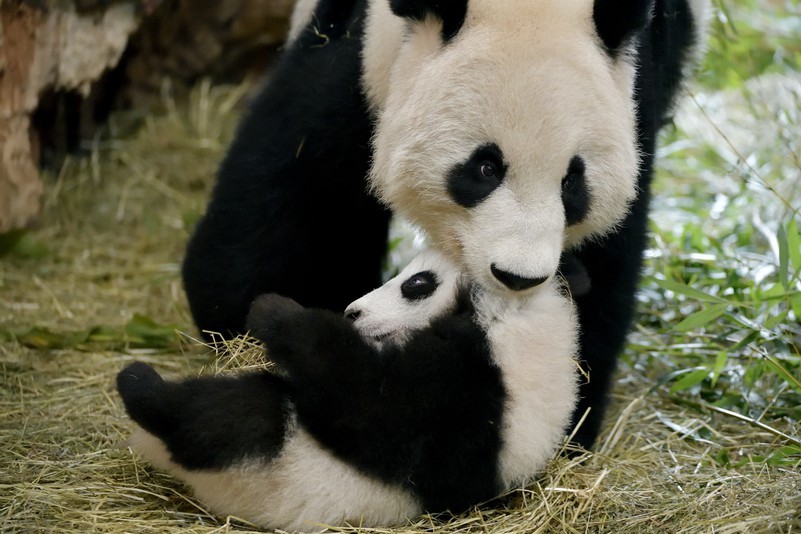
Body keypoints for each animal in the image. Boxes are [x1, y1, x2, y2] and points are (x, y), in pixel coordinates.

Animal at [118, 248, 580, 531]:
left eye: (417, 283)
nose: (352, 311)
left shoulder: (469, 399)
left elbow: (373, 406)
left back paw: (140, 386)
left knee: (231, 416)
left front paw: (275, 312)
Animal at [181, 0, 709, 449]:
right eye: (485, 169)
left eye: (571, 183)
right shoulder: (359, 56)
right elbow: (294, 185)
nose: (518, 277)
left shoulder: (637, 94)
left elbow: (605, 267)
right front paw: (249, 334)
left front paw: (569, 415)